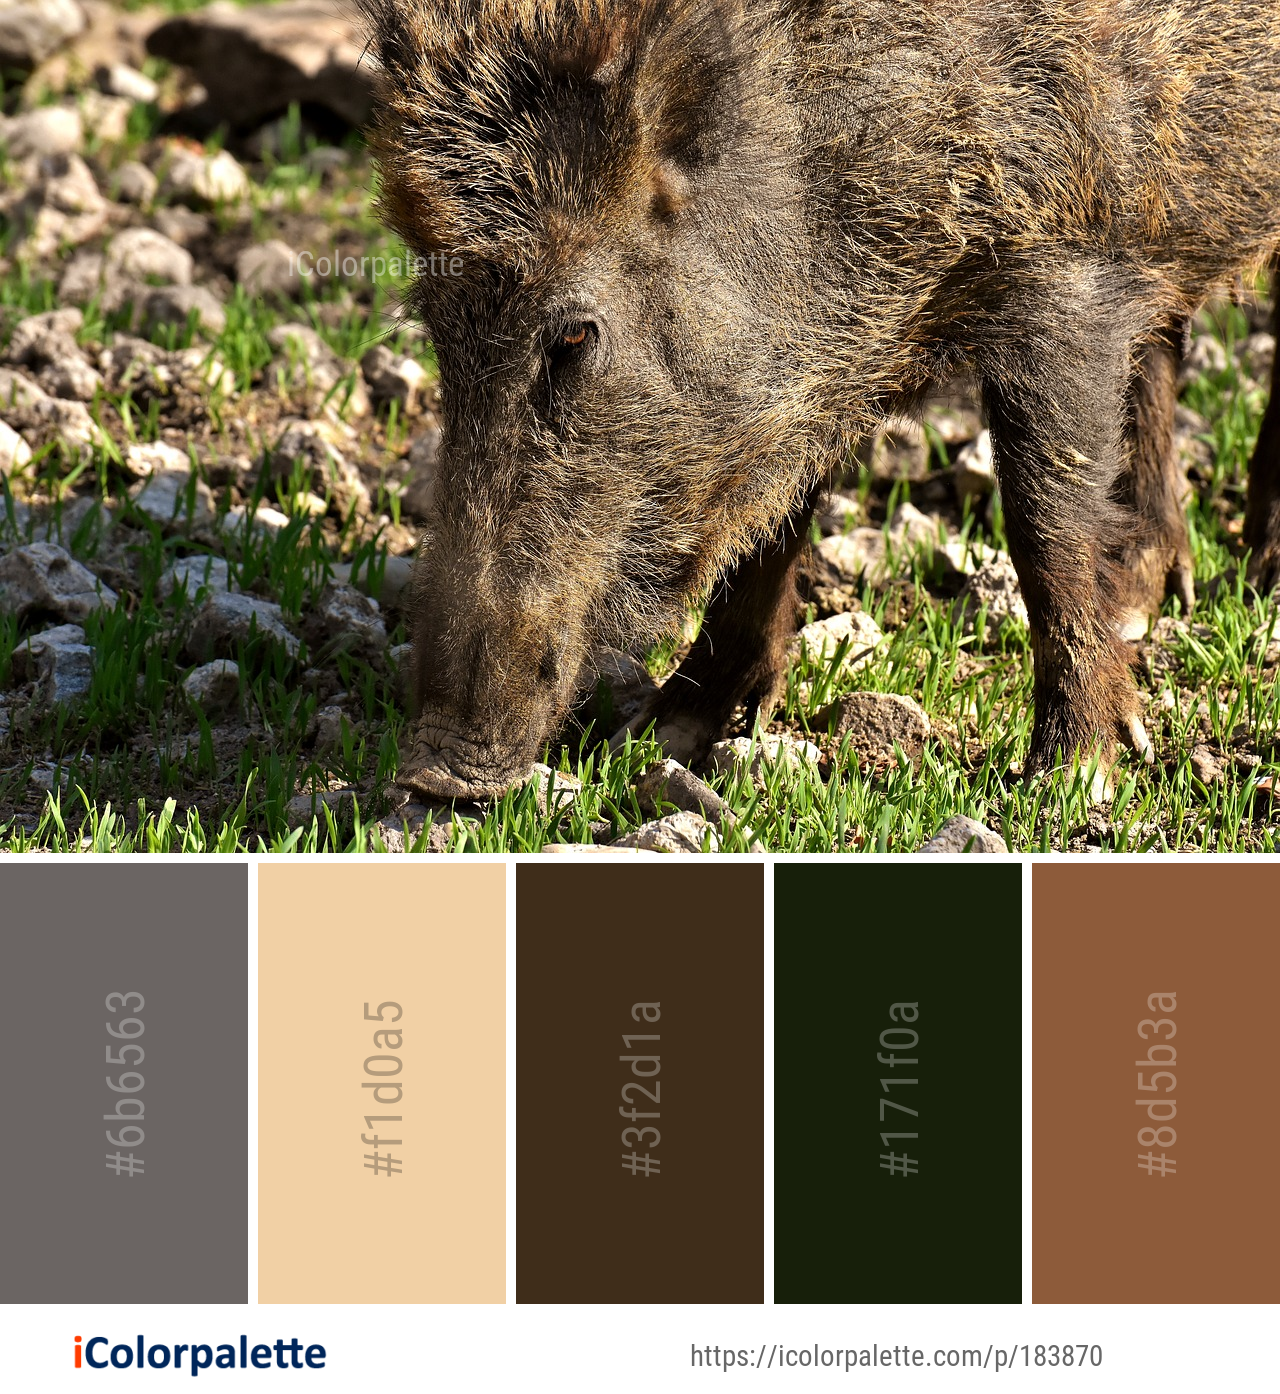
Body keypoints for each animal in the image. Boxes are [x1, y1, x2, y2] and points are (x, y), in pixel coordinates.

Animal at [357, 0, 1280, 799]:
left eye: (575, 336)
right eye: (439, 325)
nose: (431, 773)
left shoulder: (1069, 264)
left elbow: (1047, 523)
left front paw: (1071, 778)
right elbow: (774, 519)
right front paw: (663, 735)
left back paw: (1256, 569)